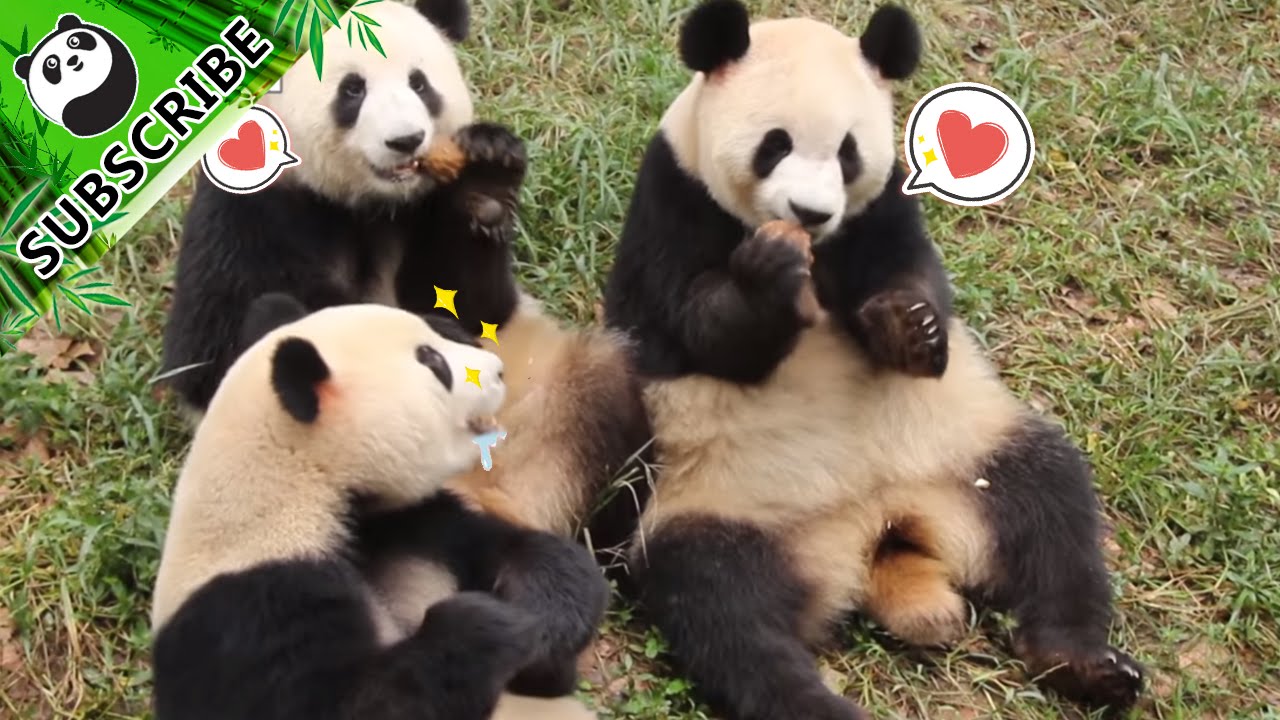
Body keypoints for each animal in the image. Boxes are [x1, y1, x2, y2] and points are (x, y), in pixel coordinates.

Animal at [150, 295, 602, 720]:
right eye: (434, 361)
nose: (498, 370)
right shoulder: (250, 608)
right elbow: (342, 706)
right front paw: (487, 624)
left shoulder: (409, 522)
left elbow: (513, 554)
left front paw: (547, 613)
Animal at [159, 0, 650, 537]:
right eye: (352, 89)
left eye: (420, 83)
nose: (406, 140)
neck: (369, 203)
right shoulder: (250, 210)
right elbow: (214, 346)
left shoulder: (425, 207)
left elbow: (475, 304)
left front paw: (487, 175)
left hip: (555, 389)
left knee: (623, 413)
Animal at [601, 2, 1145, 719]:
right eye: (775, 144)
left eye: (848, 152)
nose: (810, 211)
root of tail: (875, 530)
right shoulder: (674, 199)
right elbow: (698, 326)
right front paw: (768, 274)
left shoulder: (884, 204)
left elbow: (913, 273)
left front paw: (909, 327)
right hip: (718, 499)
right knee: (723, 610)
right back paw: (814, 702)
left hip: (966, 454)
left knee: (1052, 515)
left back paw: (1085, 663)